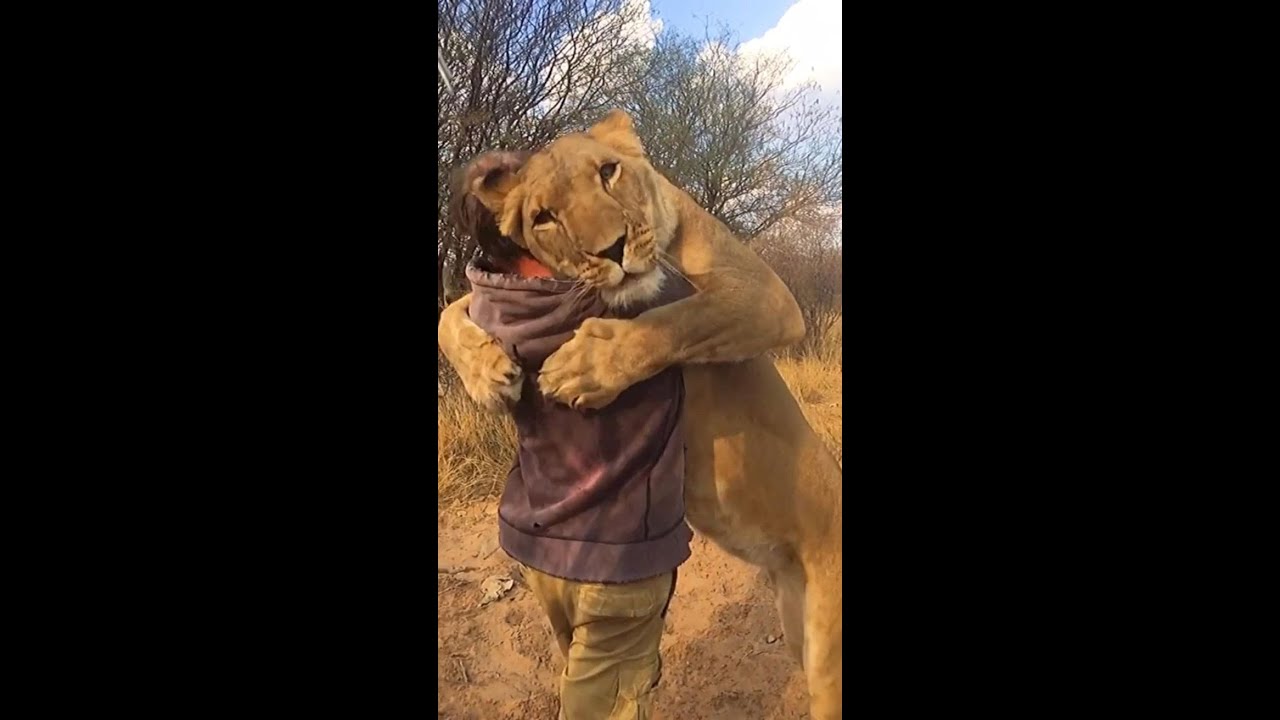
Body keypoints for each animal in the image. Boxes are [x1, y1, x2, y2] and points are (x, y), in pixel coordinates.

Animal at [437, 110, 843, 718]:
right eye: (544, 217)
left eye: (609, 172)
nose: (613, 249)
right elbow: (450, 310)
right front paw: (489, 373)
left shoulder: (763, 296)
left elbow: (681, 318)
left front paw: (585, 366)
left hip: (827, 655)